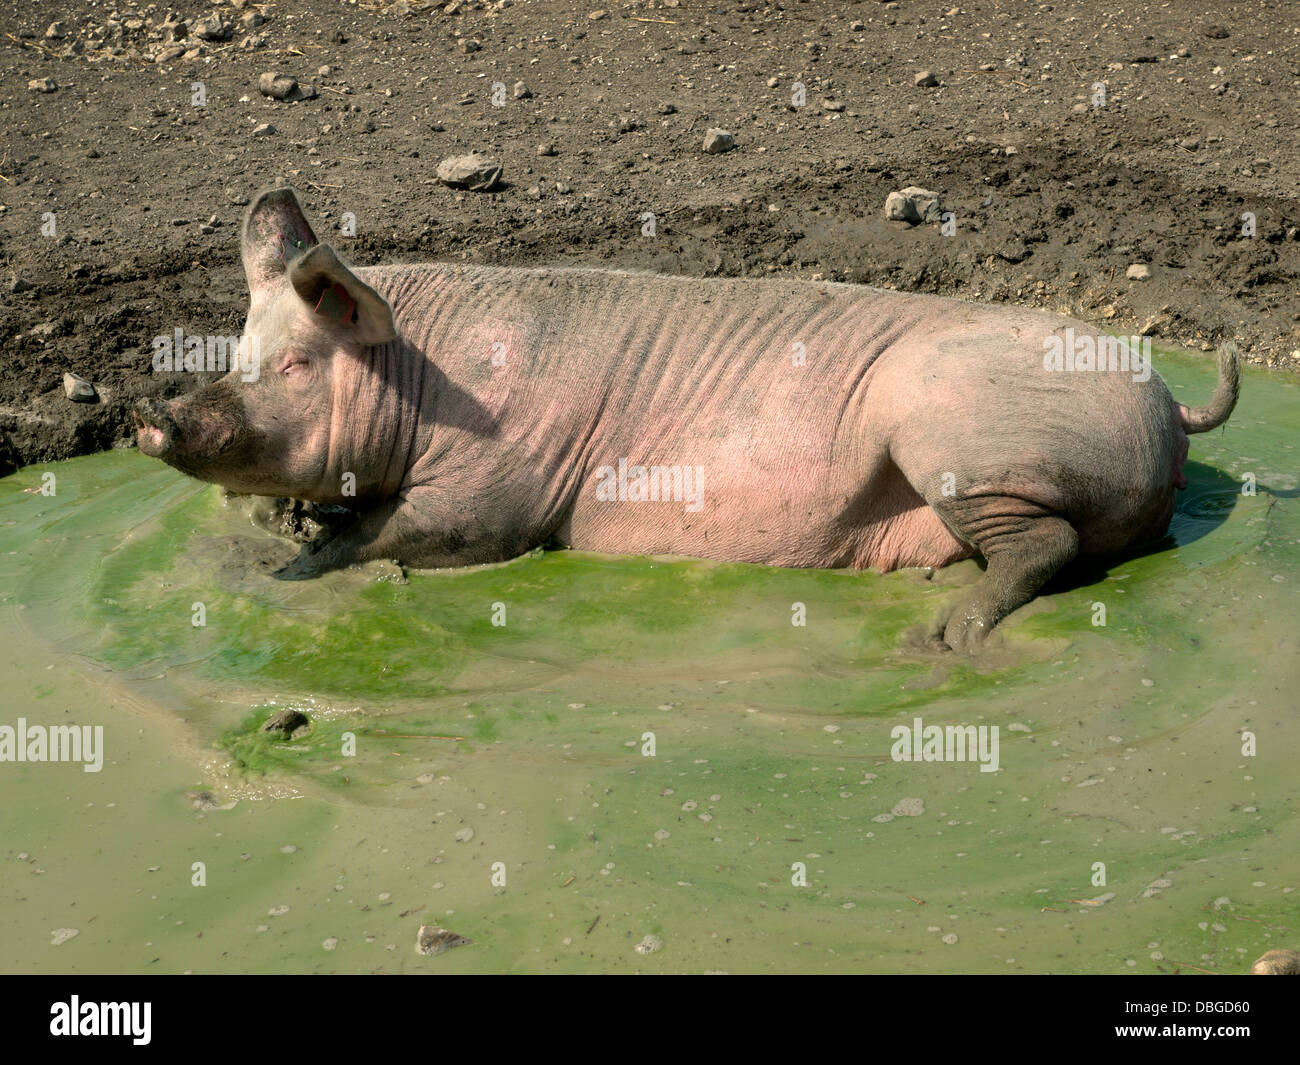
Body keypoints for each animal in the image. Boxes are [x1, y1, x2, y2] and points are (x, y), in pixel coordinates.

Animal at [134, 188, 1239, 651]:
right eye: (235, 353)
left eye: (293, 364)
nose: (155, 416)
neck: (426, 382)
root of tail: (1166, 401)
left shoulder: (507, 490)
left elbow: (396, 535)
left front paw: (293, 567)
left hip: (956, 435)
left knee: (1047, 544)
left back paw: (939, 635)